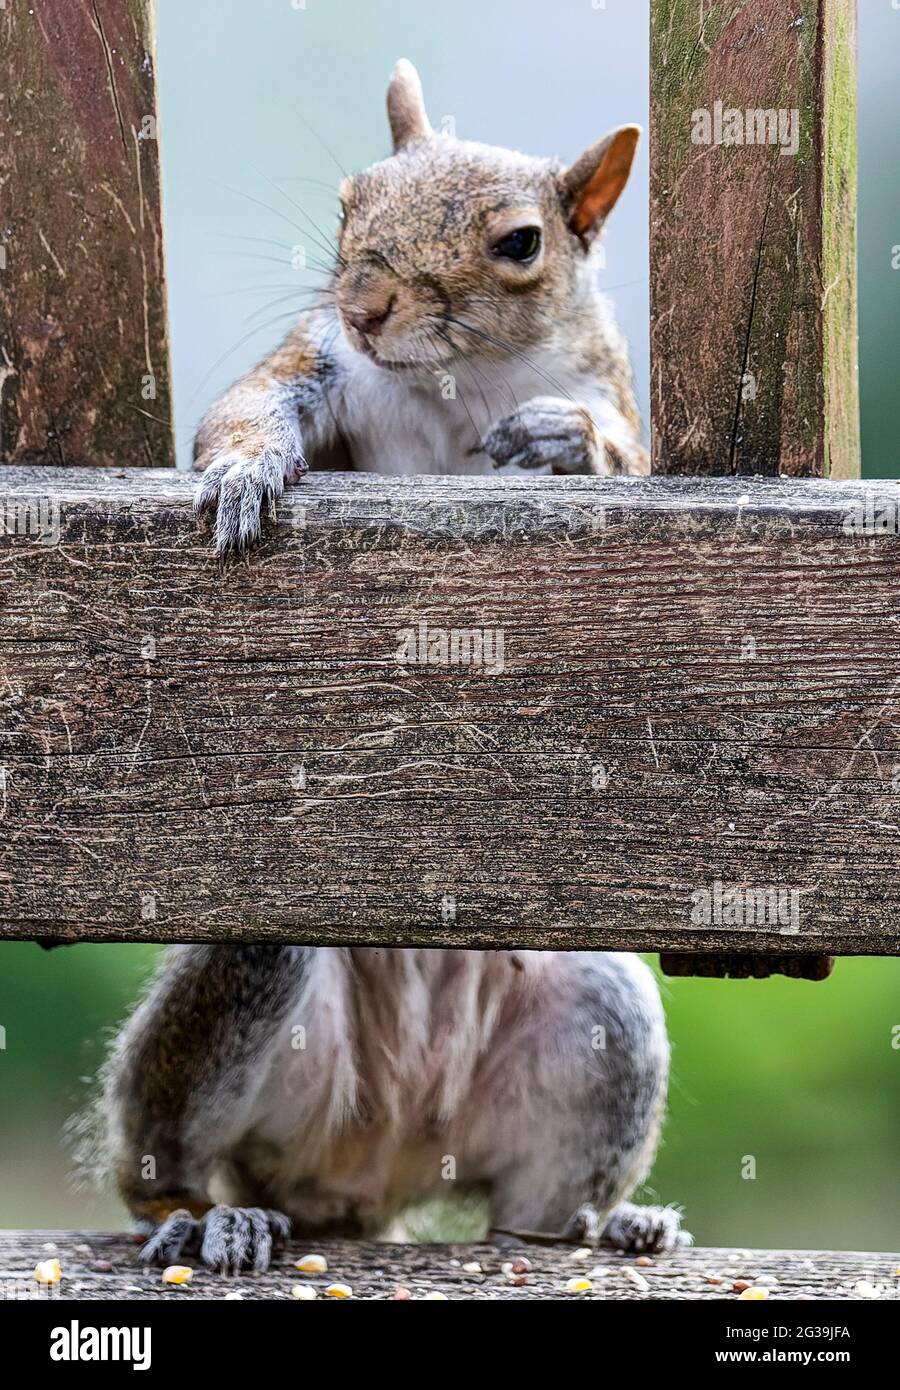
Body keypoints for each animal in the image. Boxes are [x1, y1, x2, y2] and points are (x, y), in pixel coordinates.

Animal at [100, 62, 685, 1273]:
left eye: (521, 243)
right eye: (347, 202)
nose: (368, 304)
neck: (461, 377)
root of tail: (379, 1177)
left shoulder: (610, 395)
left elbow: (627, 452)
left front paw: (562, 440)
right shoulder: (320, 362)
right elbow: (249, 409)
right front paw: (245, 472)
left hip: (598, 1020)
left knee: (530, 1213)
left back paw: (614, 1226)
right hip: (252, 984)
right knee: (159, 1165)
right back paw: (207, 1217)